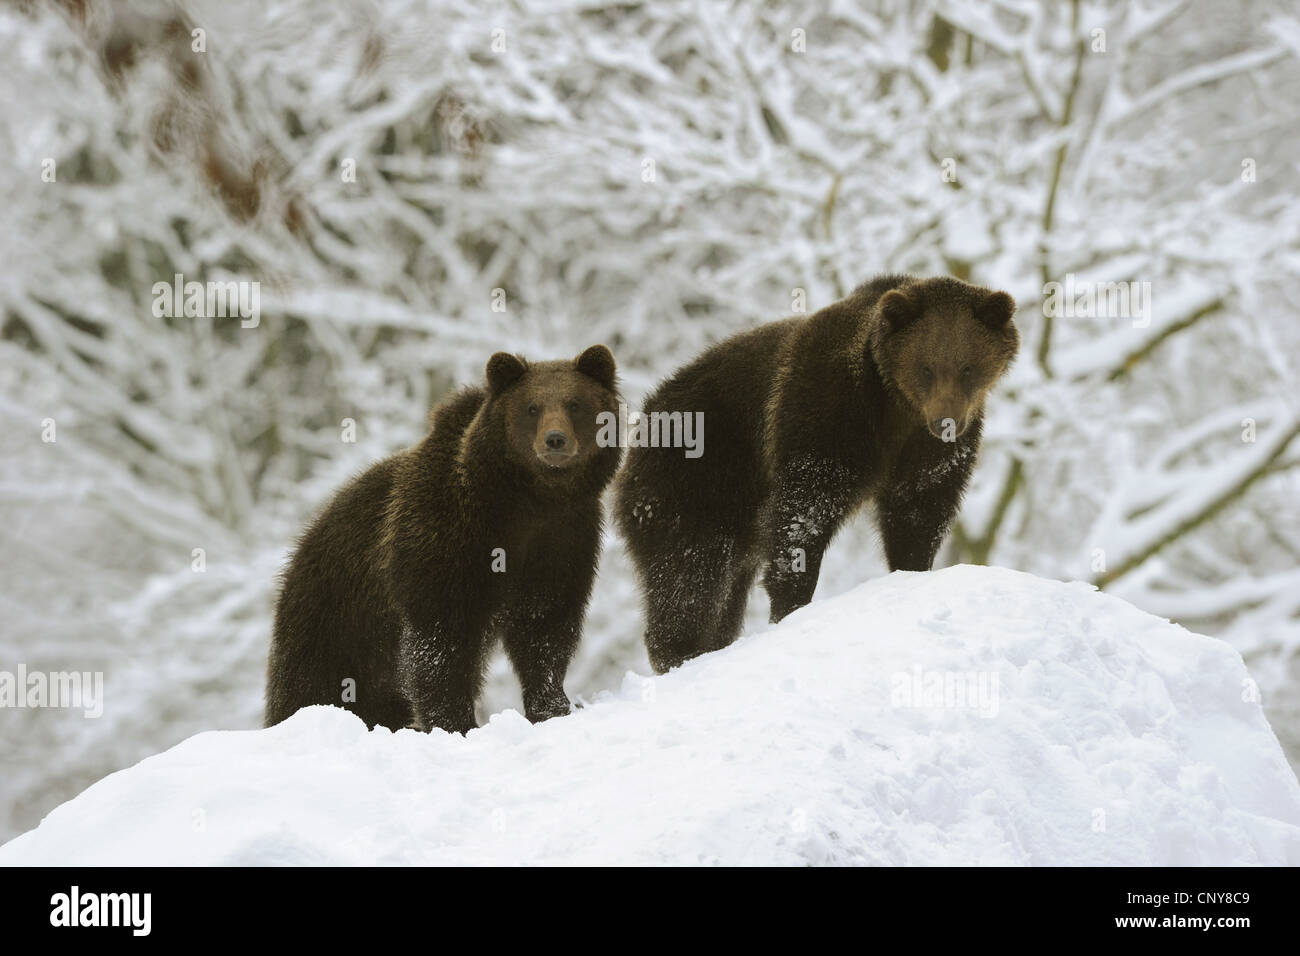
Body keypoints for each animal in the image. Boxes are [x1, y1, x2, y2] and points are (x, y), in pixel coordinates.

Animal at [265, 345, 621, 733]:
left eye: (575, 404)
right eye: (531, 407)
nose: (555, 439)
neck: (526, 503)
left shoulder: (563, 539)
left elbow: (545, 626)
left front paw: (553, 705)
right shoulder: (445, 536)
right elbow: (440, 640)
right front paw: (455, 722)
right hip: (334, 617)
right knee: (309, 683)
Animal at [614, 275, 1018, 674]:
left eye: (968, 368)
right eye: (926, 368)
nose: (946, 422)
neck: (895, 408)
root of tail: (642, 421)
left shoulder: (927, 450)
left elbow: (920, 508)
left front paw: (912, 568)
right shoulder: (825, 414)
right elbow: (803, 511)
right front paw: (791, 605)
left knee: (723, 592)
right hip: (695, 478)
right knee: (689, 572)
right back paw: (679, 653)